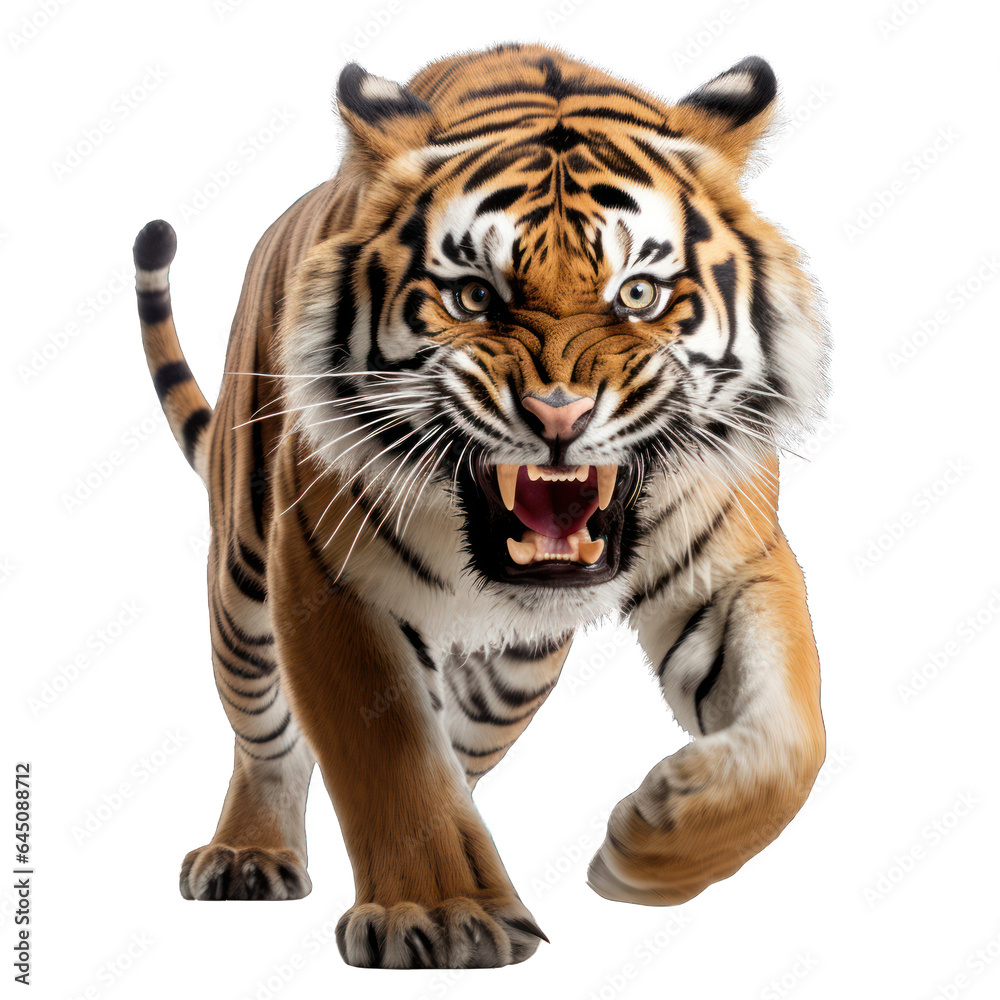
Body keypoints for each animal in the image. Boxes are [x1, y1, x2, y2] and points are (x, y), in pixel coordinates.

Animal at [133, 43, 828, 969]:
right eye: (472, 298)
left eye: (637, 295)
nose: (560, 415)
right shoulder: (326, 573)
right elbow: (391, 761)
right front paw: (438, 911)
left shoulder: (735, 562)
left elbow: (793, 739)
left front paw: (654, 848)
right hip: (242, 584)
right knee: (267, 738)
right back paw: (251, 854)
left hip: (515, 676)